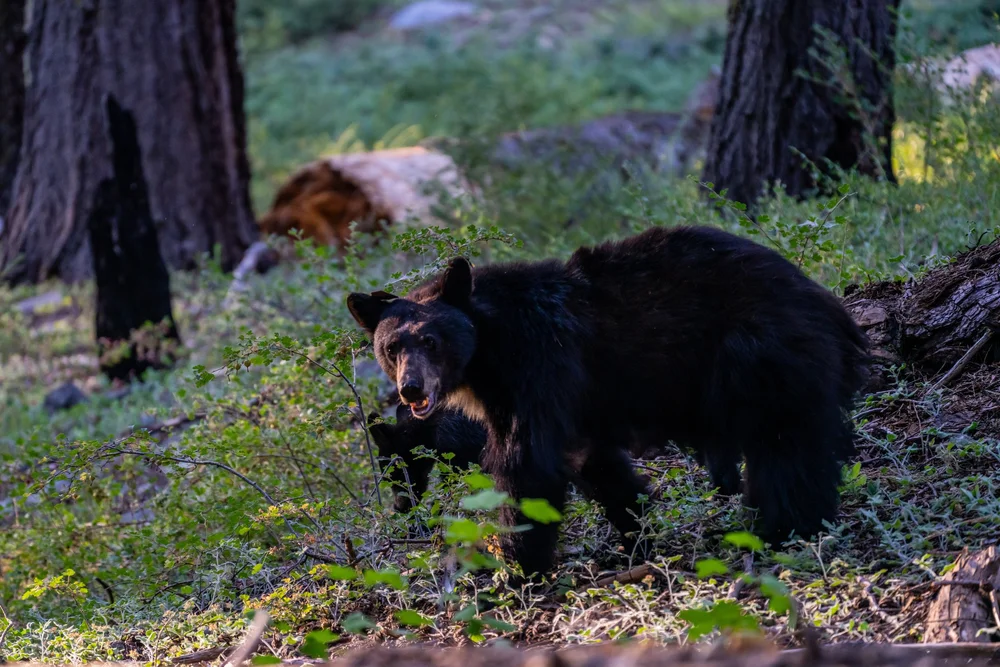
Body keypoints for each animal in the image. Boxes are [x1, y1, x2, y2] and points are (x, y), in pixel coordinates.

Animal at [347, 224, 870, 578]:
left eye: (431, 340)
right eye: (391, 347)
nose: (411, 389)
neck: (489, 348)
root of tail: (827, 302)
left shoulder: (541, 364)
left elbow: (527, 465)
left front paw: (514, 570)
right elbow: (597, 465)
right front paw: (636, 539)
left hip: (762, 354)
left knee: (786, 447)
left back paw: (783, 530)